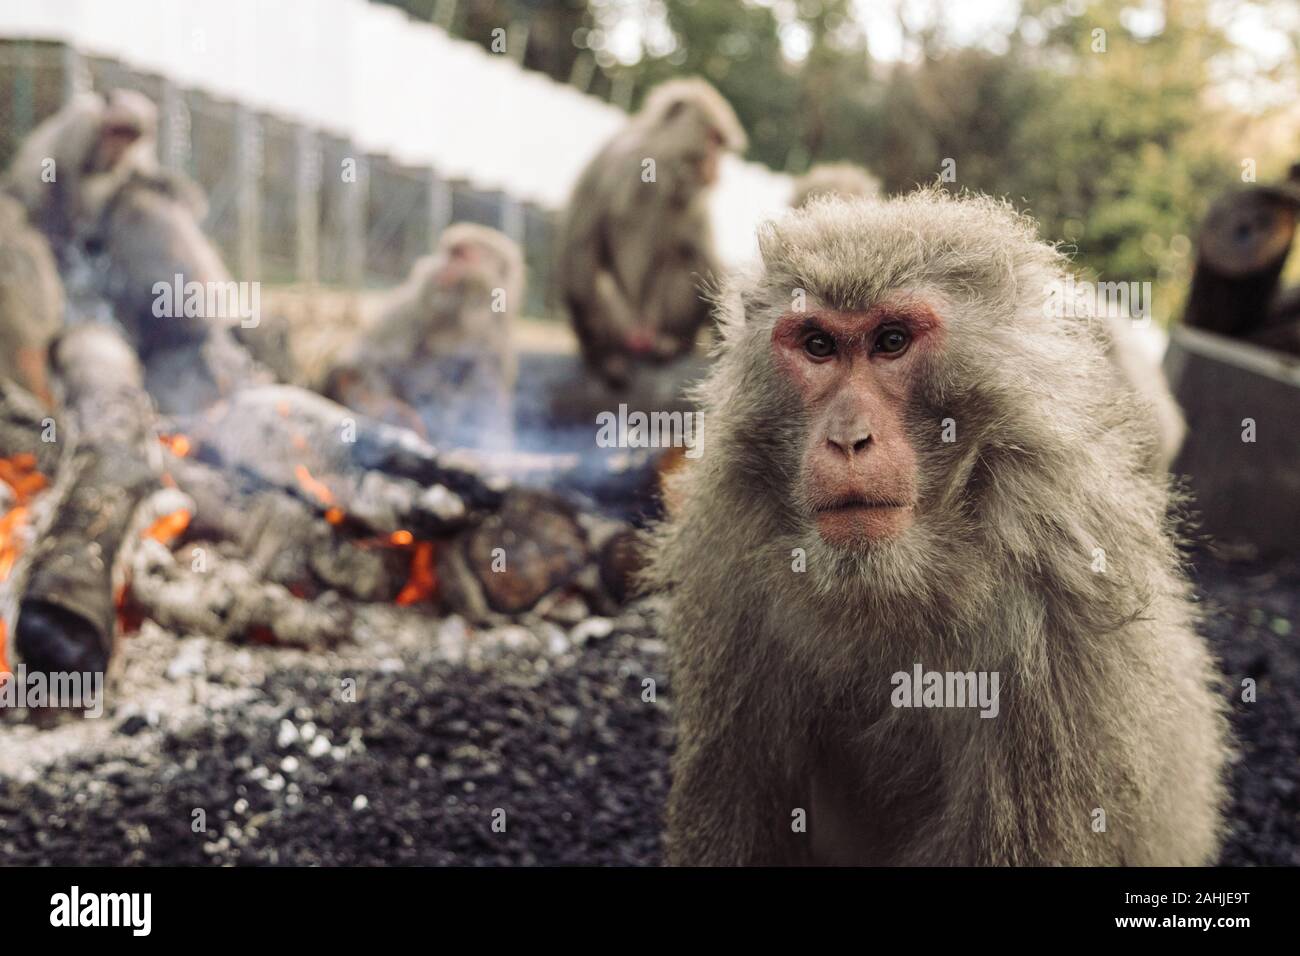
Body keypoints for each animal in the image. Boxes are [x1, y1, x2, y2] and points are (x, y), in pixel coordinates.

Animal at [326, 222, 522, 449]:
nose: (442, 267)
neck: (464, 317)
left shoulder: (497, 342)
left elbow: (486, 402)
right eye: (448, 253)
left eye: (461, 256)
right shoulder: (418, 303)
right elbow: (369, 357)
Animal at [555, 77, 747, 388]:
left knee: (686, 260)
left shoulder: (693, 200)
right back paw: (609, 354)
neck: (660, 162)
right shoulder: (611, 162)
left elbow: (704, 258)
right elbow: (580, 244)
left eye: (720, 144)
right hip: (624, 321)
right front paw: (600, 355)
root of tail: (641, 334)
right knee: (593, 279)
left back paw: (671, 344)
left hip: (658, 319)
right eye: (712, 139)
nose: (717, 170)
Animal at [645, 189, 1229, 866]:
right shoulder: (728, 568)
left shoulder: (1058, 609)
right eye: (818, 345)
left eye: (891, 340)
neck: (900, 571)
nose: (848, 438)